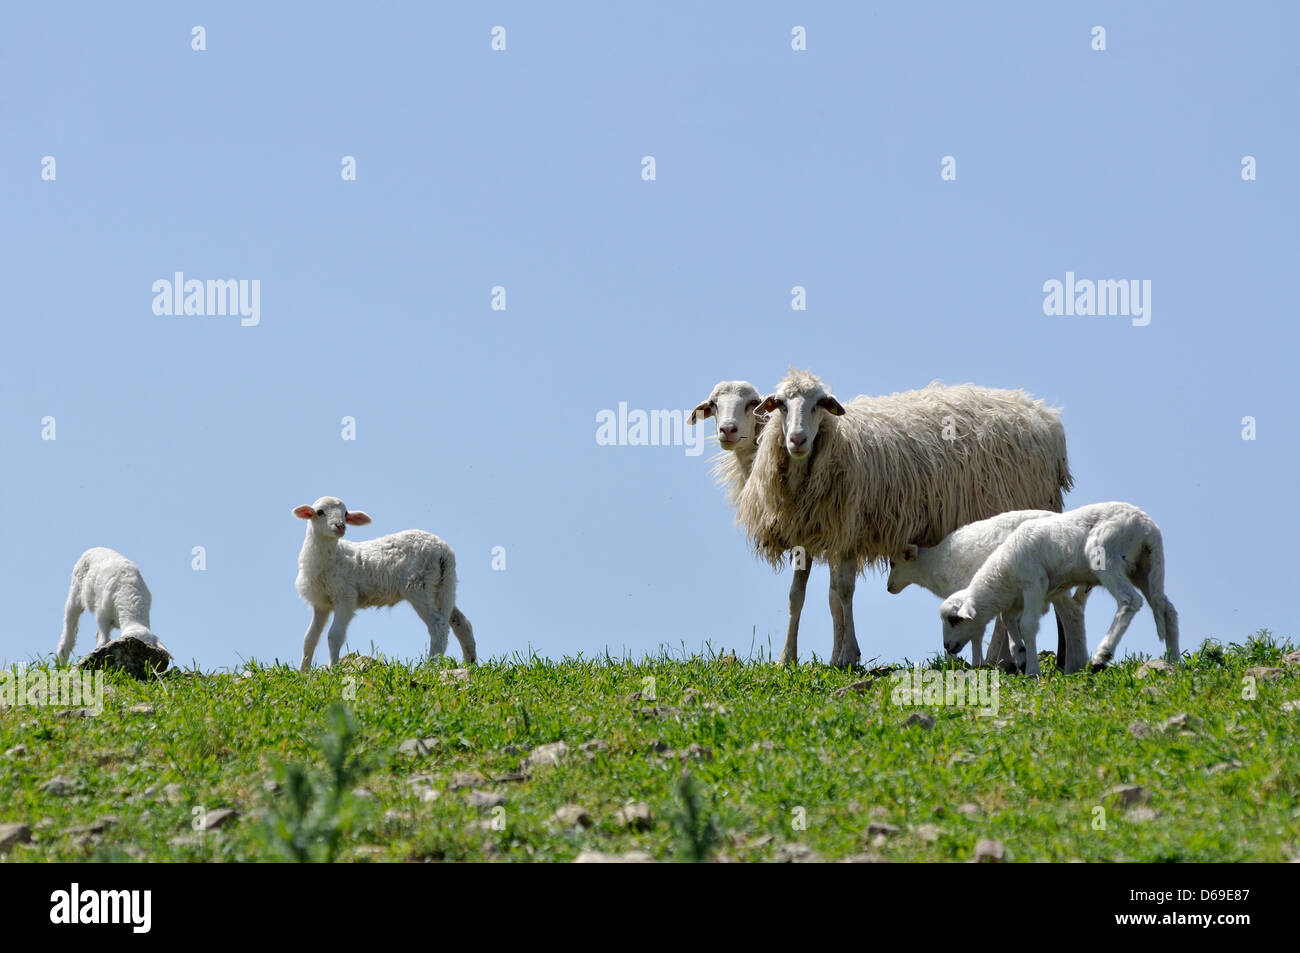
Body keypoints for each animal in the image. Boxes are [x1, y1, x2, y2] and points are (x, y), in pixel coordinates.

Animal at [293, 497, 476, 672]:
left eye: (345, 513)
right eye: (320, 512)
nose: (340, 526)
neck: (331, 558)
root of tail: (444, 551)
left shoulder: (345, 597)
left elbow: (334, 635)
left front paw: (333, 670)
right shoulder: (321, 604)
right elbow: (309, 638)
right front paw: (304, 672)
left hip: (419, 585)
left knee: (438, 624)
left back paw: (430, 667)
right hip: (443, 585)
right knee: (461, 623)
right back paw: (471, 664)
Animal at [736, 369, 1074, 667]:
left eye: (819, 403)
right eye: (780, 404)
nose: (797, 439)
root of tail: (1045, 417)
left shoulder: (849, 533)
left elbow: (843, 593)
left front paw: (847, 656)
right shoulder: (804, 536)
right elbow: (798, 597)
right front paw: (788, 658)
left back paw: (998, 658)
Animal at [886, 511, 1091, 672]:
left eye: (893, 563)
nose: (889, 587)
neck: (931, 566)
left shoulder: (966, 591)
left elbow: (976, 629)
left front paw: (972, 664)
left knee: (1071, 613)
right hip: (1057, 582)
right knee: (1074, 611)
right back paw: (1076, 666)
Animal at [940, 502, 1178, 676]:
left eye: (954, 620)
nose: (947, 647)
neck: (1003, 573)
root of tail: (1147, 527)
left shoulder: (1033, 584)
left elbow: (1027, 626)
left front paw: (1032, 671)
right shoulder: (1031, 596)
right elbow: (1009, 621)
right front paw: (1020, 655)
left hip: (1106, 556)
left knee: (1130, 601)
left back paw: (1102, 655)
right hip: (1144, 568)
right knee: (1167, 609)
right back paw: (1174, 661)